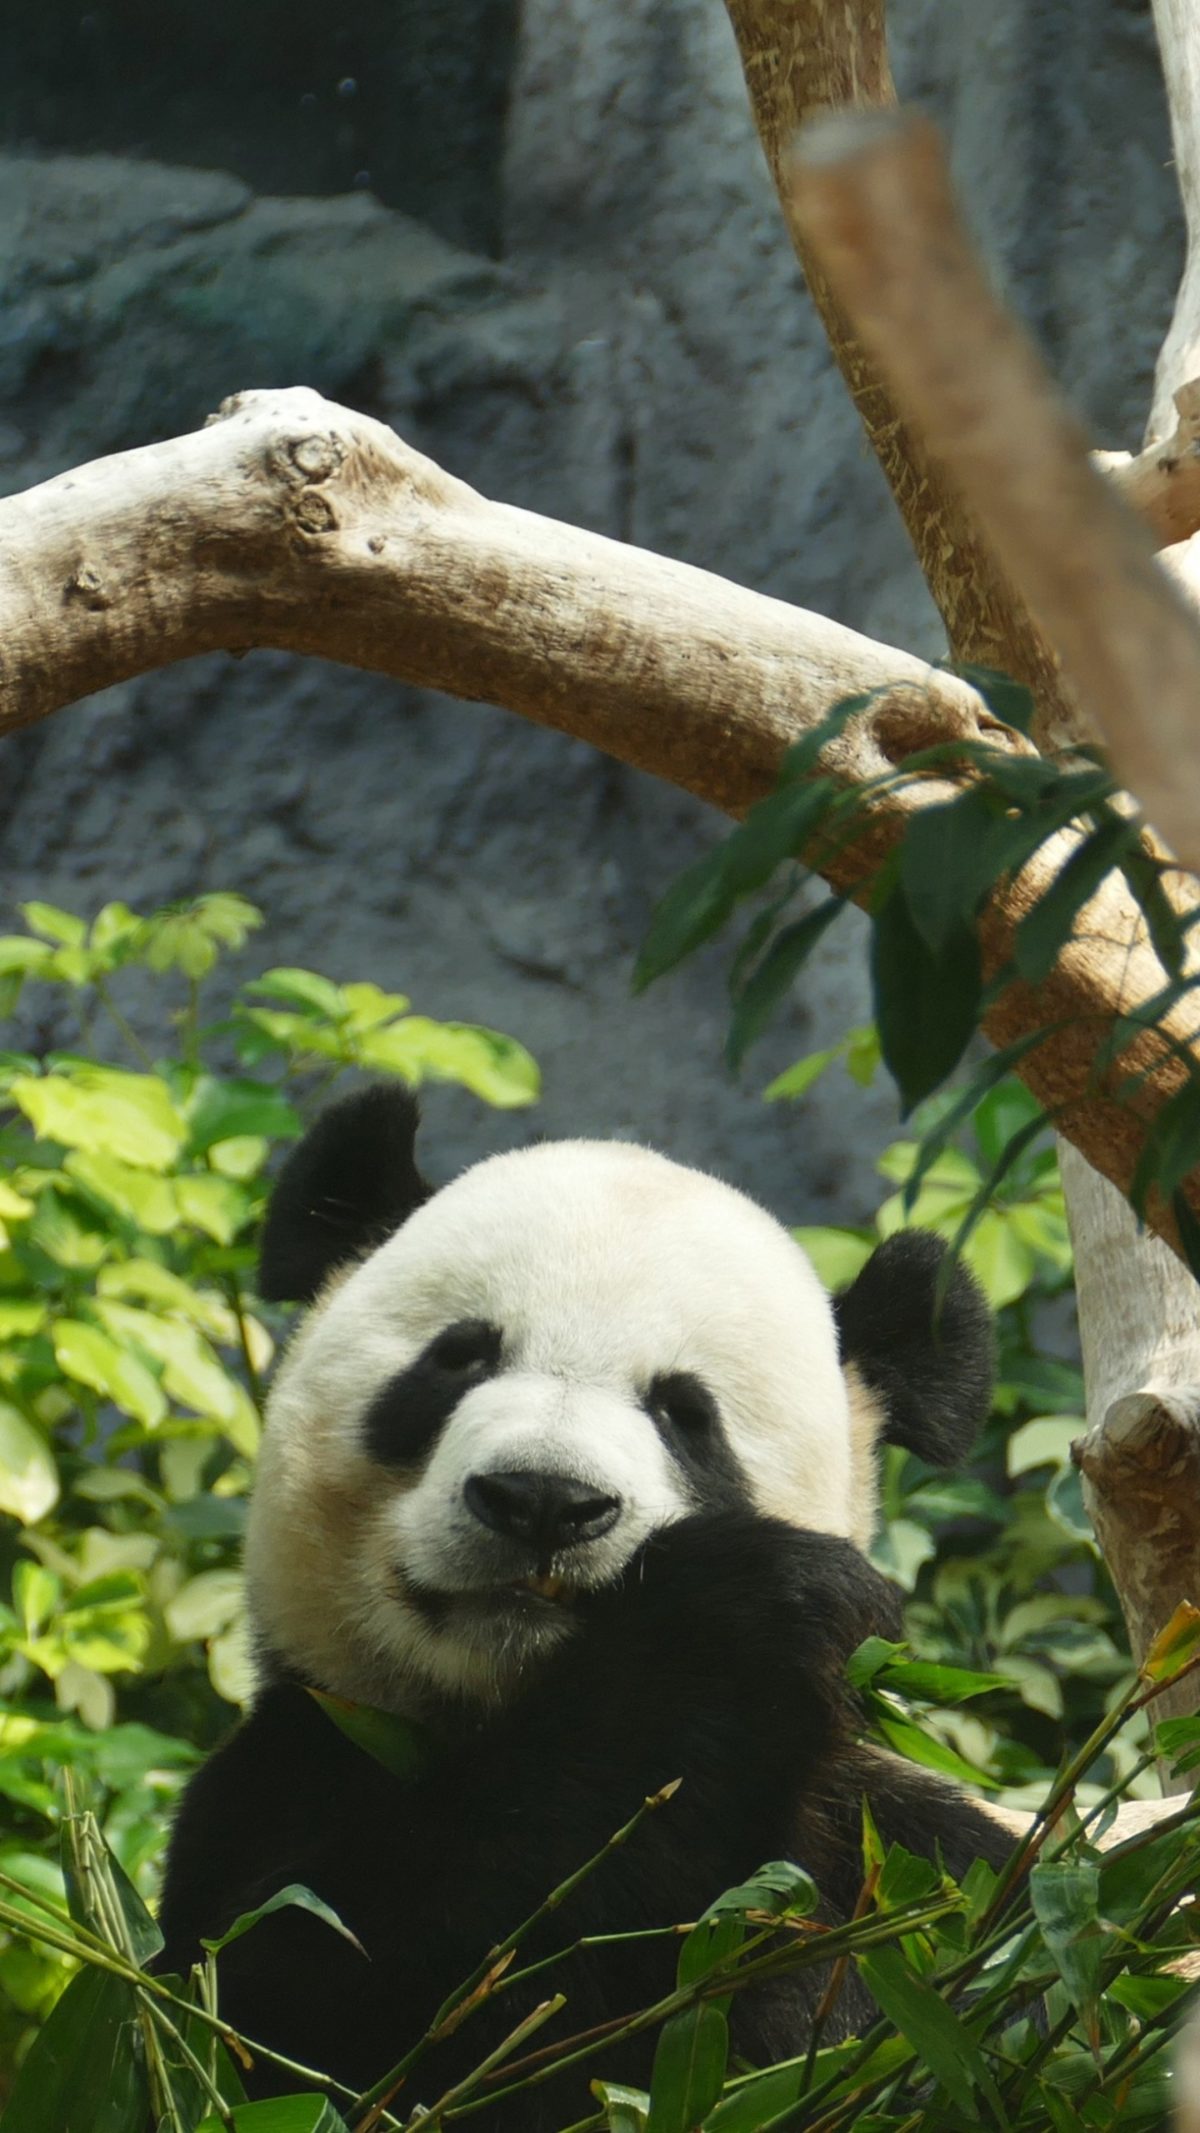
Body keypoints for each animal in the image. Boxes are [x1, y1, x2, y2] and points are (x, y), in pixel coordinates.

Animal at [159, 1084, 1010, 2125]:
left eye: (687, 1413)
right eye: (458, 1359)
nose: (543, 1500)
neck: (515, 1699)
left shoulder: (905, 1856)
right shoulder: (289, 1773)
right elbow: (317, 2013)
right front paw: (735, 1615)